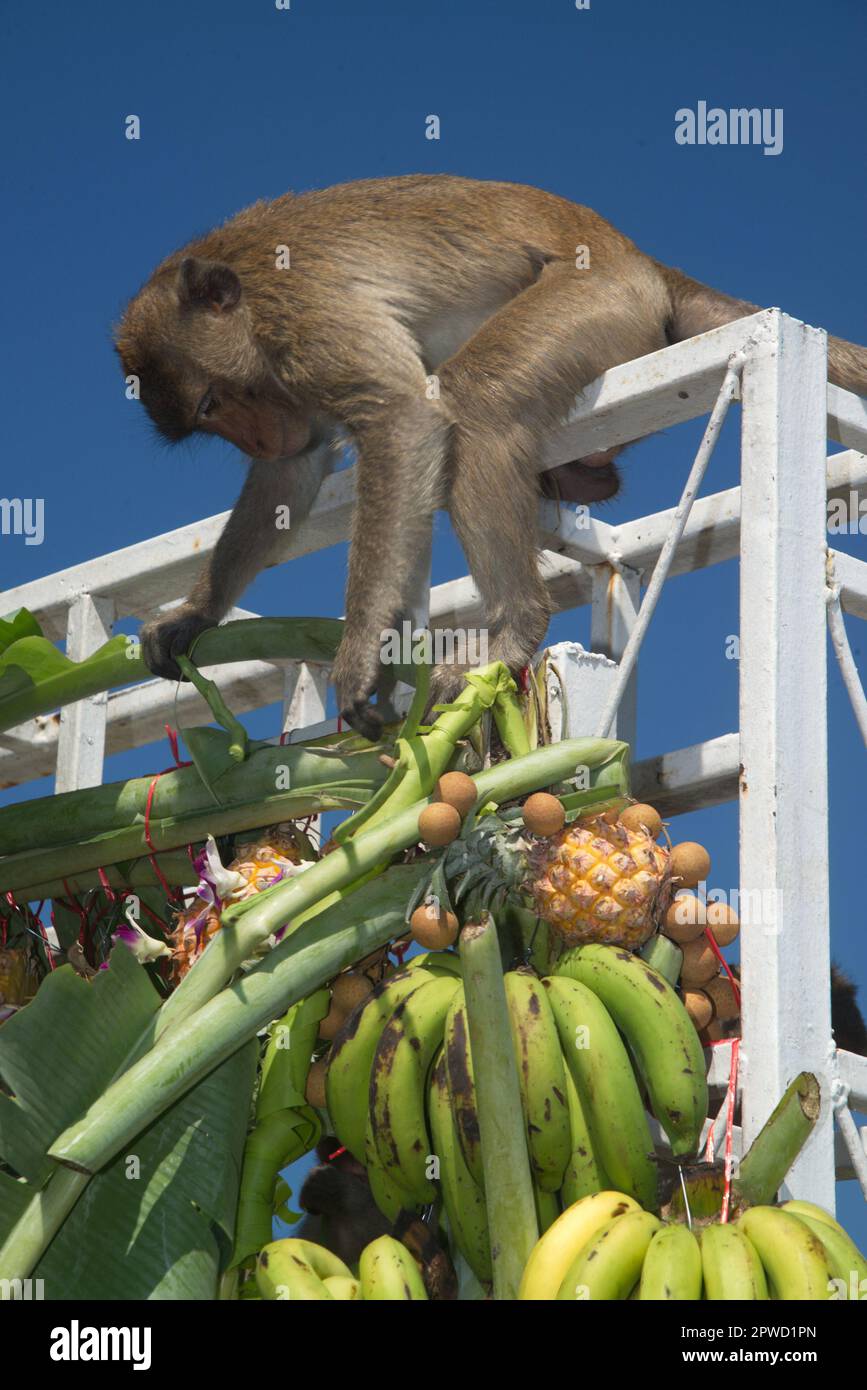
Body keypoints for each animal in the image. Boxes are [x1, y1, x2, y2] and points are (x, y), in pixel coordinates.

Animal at [115, 175, 867, 738]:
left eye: (211, 403)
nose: (254, 438)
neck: (246, 293)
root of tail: (641, 260)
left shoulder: (302, 316)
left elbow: (404, 419)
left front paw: (360, 650)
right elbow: (290, 476)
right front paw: (196, 613)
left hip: (597, 298)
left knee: (473, 407)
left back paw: (515, 626)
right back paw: (580, 482)